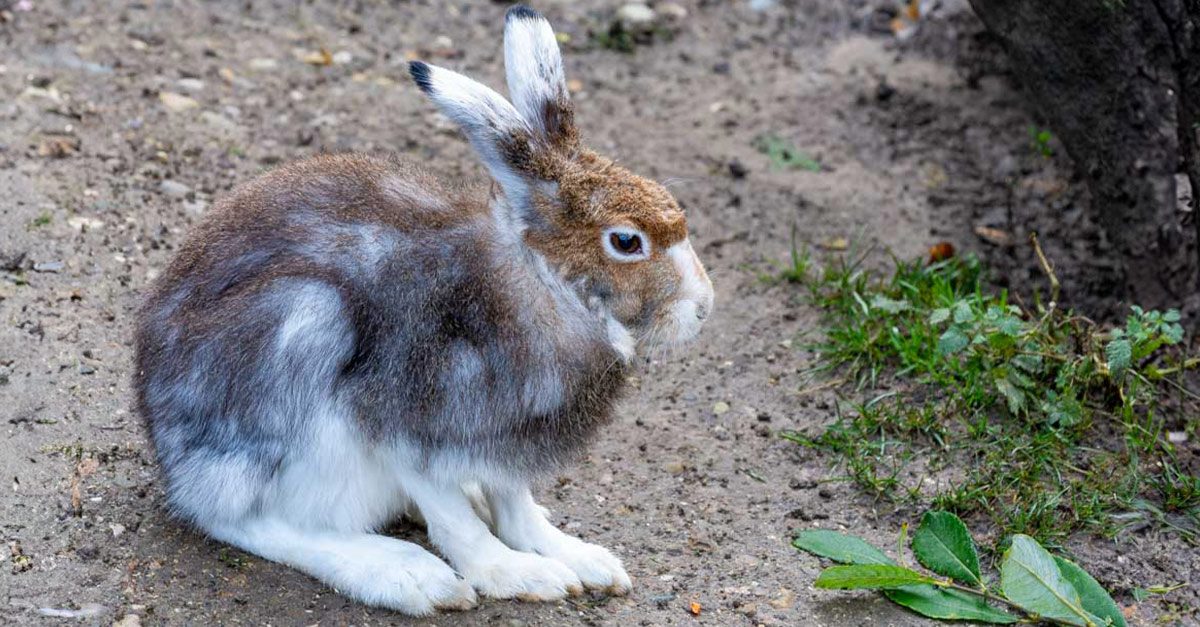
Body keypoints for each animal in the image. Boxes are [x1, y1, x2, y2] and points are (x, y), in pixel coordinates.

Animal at [133, 4, 714, 616]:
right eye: (626, 242)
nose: (703, 308)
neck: (541, 281)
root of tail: (172, 458)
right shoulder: (404, 428)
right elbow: (455, 520)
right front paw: (517, 575)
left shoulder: (504, 440)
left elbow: (515, 506)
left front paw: (578, 559)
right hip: (300, 334)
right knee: (246, 519)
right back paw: (405, 574)